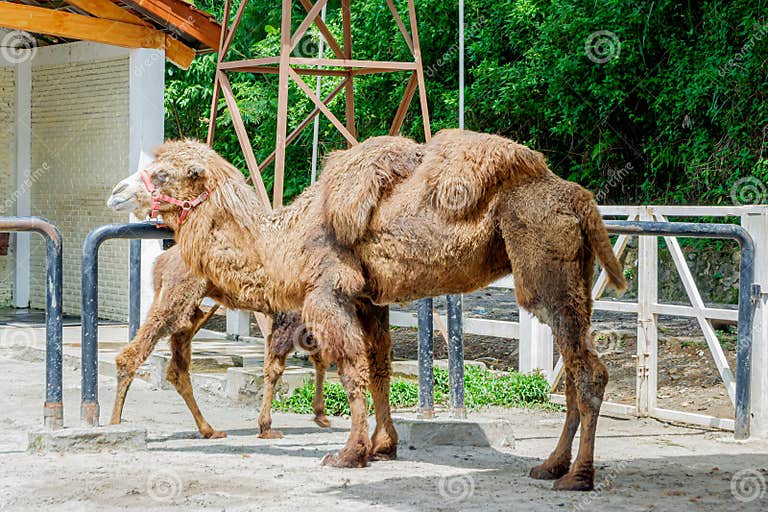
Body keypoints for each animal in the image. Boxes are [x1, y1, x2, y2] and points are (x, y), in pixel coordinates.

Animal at [109, 245, 330, 439]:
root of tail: (161, 260)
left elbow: (319, 359)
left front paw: (321, 415)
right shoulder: (290, 315)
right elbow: (275, 368)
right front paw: (266, 427)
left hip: (189, 311)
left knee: (177, 369)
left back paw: (209, 430)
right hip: (176, 300)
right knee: (132, 355)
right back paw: (116, 424)